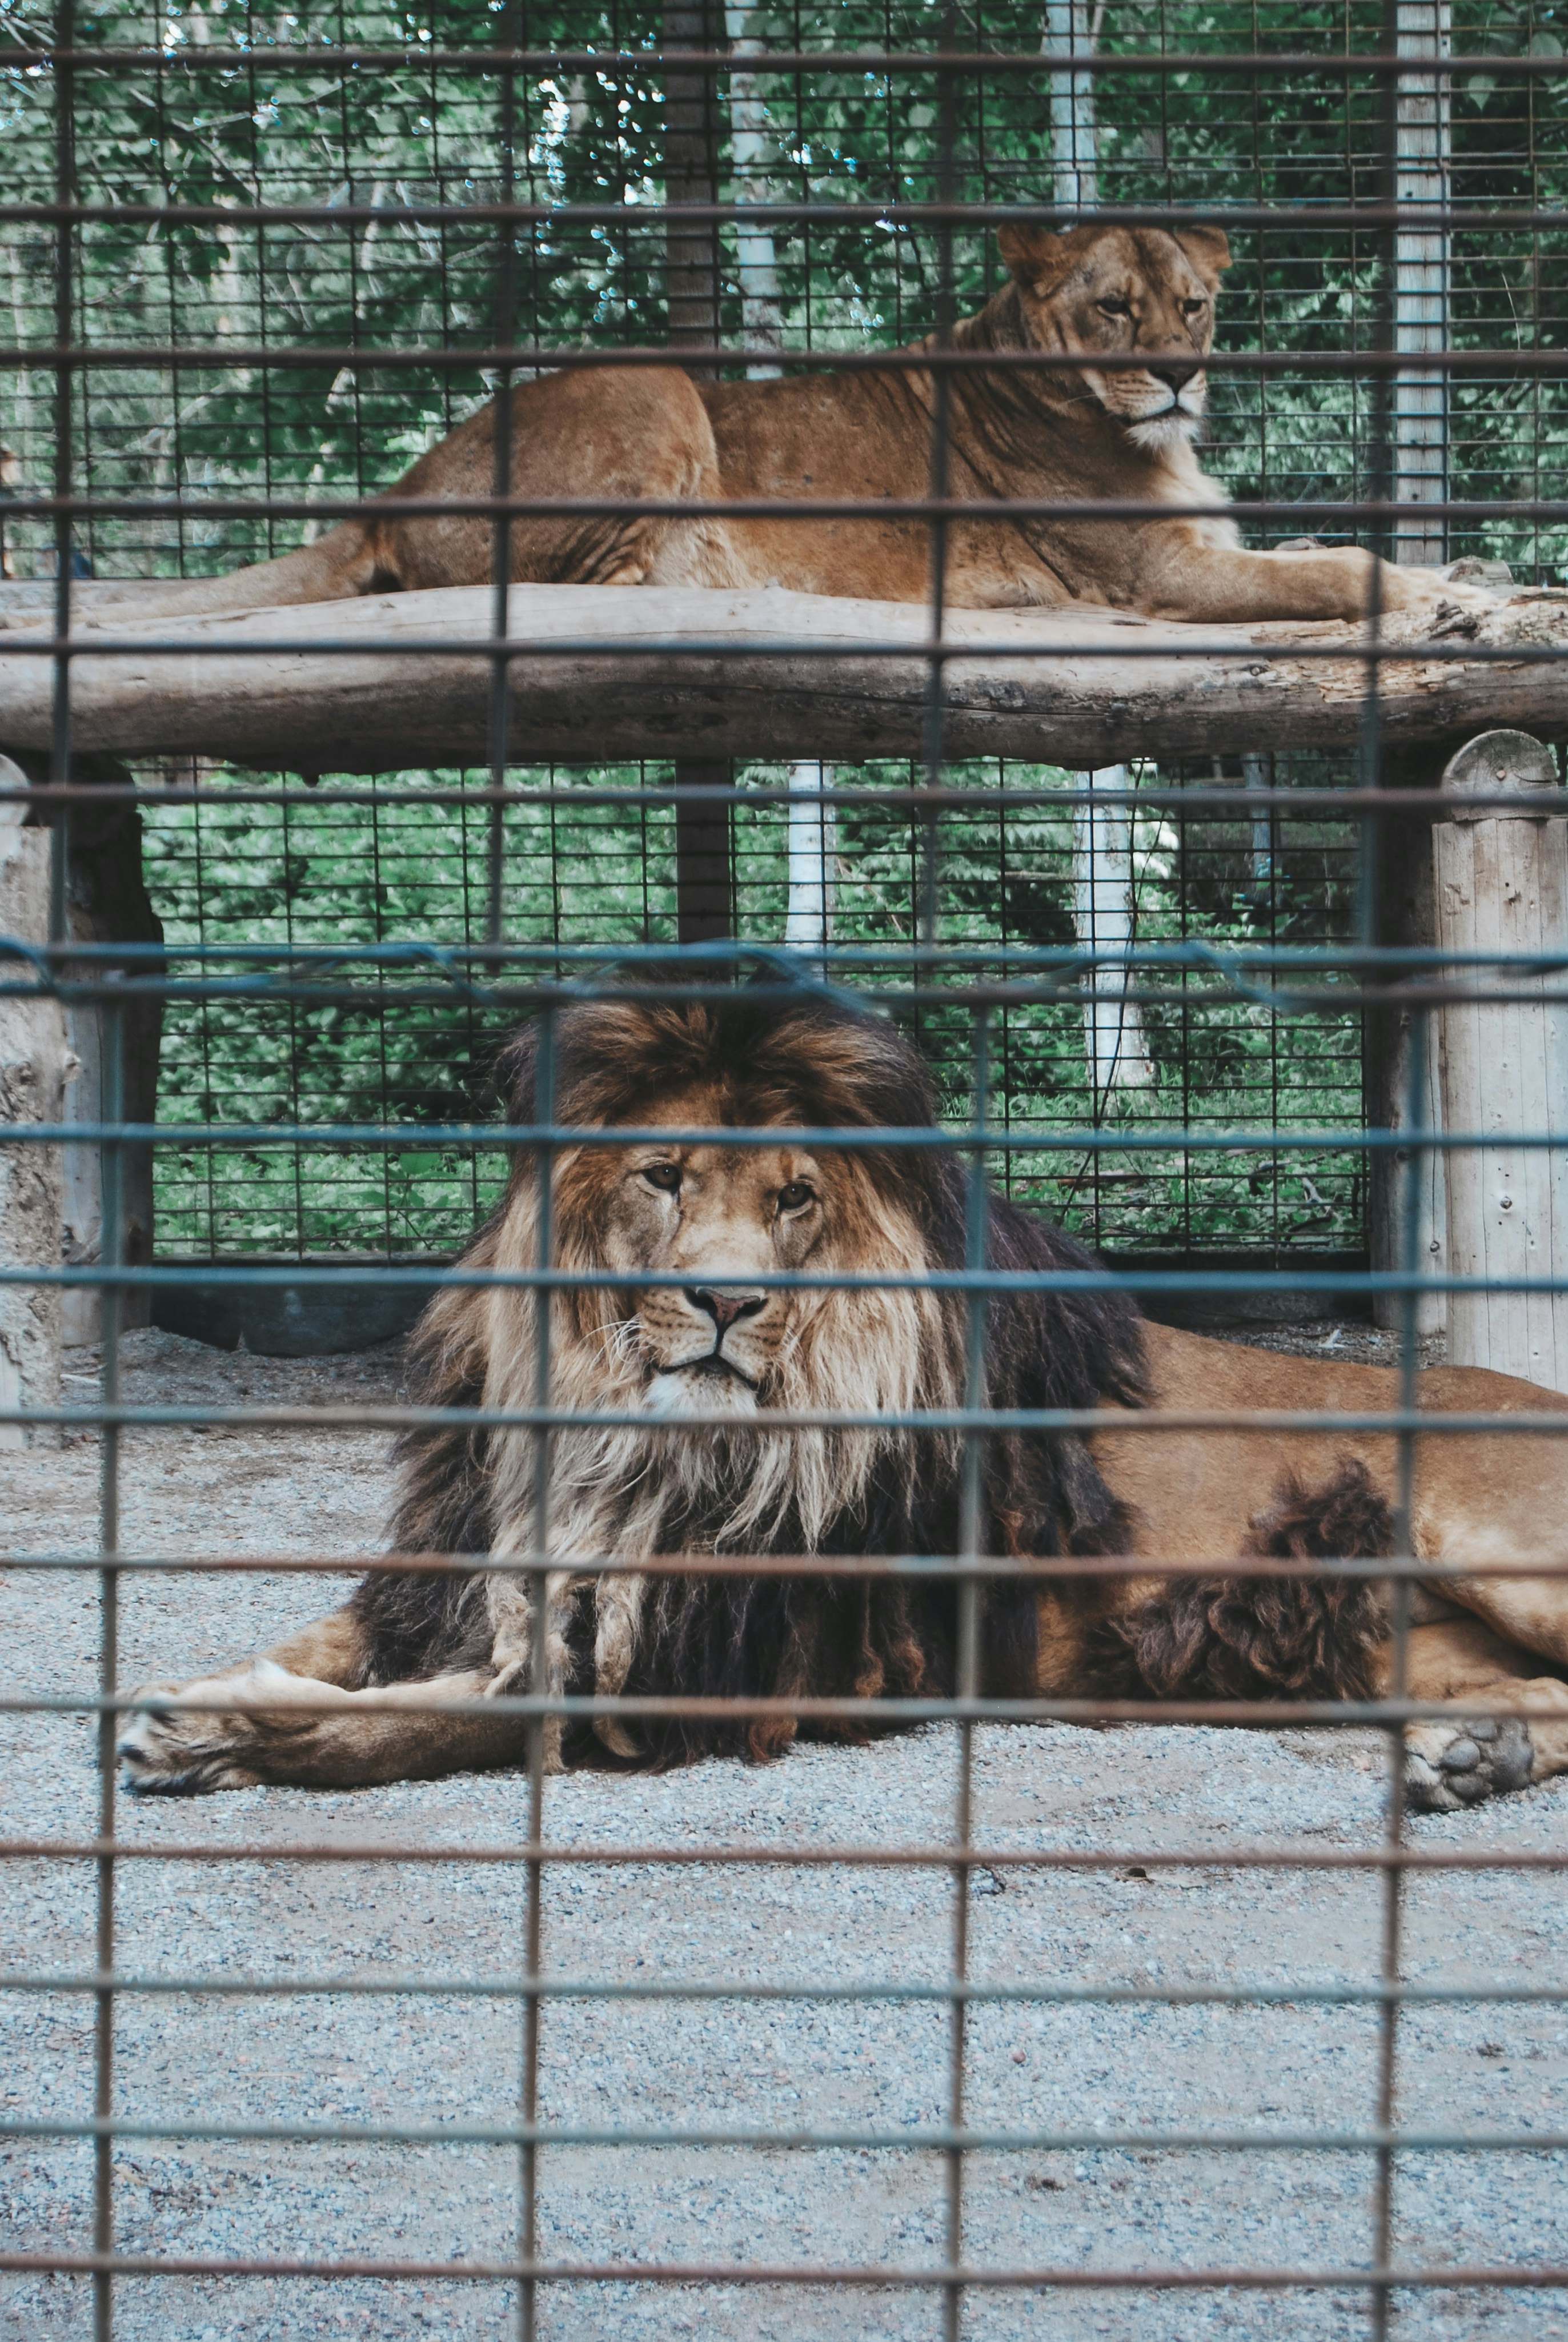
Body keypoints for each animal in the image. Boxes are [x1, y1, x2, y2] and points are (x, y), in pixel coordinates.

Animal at [49, 225, 1489, 630]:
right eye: (1112, 309)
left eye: (1194, 303)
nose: (1181, 376)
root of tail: (390, 491)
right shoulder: (1158, 574)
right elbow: (1331, 570)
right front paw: (1433, 598)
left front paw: (1476, 572)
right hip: (655, 387)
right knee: (603, 580)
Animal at [118, 991, 1568, 1813]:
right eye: (663, 1177)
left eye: (796, 1199)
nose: (726, 1301)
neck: (610, 1434)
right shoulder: (457, 1568)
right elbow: (332, 1637)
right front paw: (204, 1696)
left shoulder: (716, 1645)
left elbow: (427, 1721)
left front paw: (238, 1729)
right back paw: (1478, 1752)